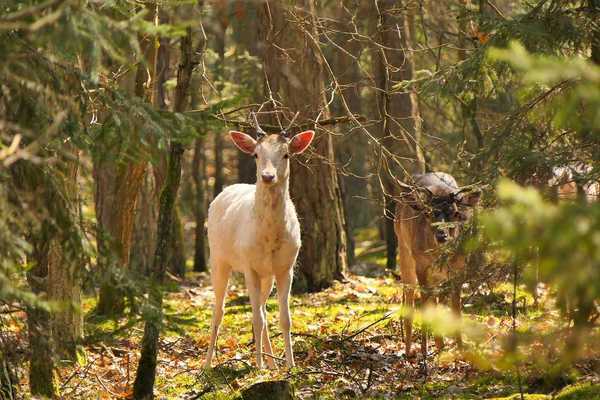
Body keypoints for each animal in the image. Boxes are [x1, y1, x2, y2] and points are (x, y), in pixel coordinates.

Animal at [204, 115, 314, 368]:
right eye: (256, 154)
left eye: (286, 154)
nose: (267, 176)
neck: (270, 239)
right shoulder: (249, 266)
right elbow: (255, 318)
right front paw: (259, 366)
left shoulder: (286, 267)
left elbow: (284, 318)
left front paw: (289, 365)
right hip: (218, 258)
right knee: (219, 310)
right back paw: (206, 365)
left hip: (267, 275)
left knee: (263, 309)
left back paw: (272, 362)